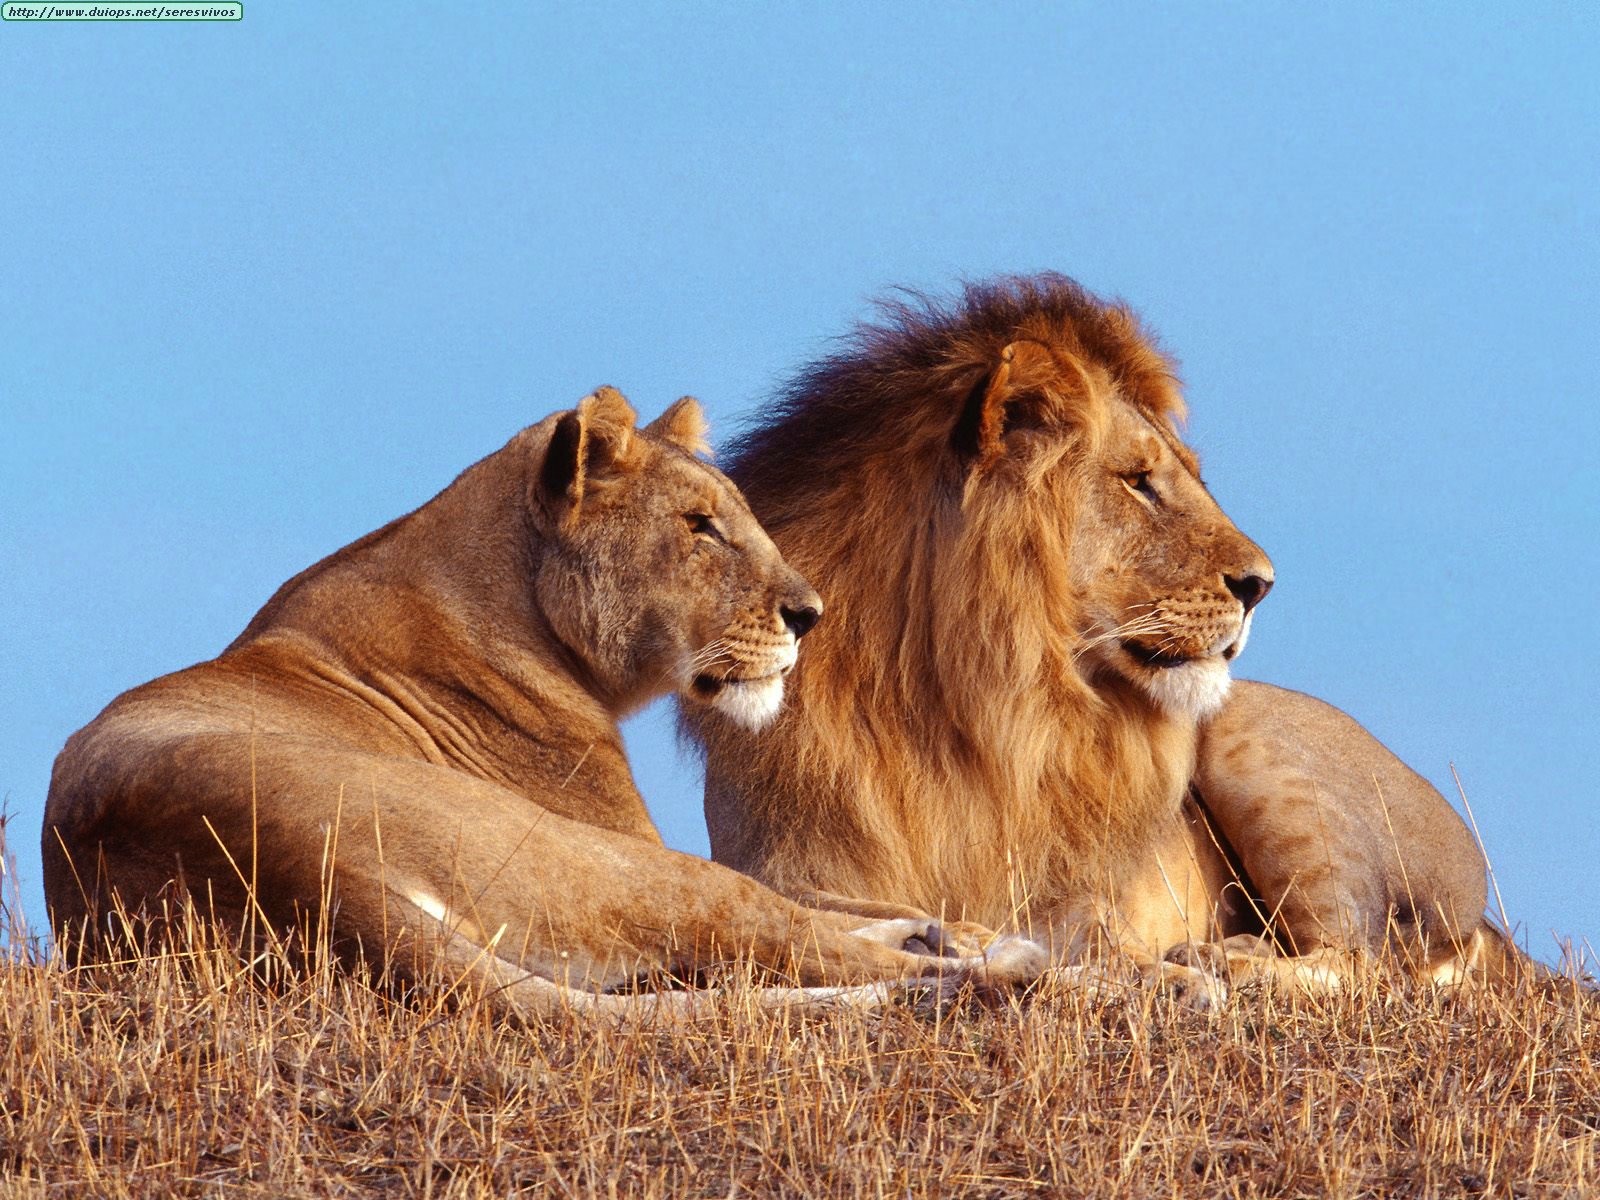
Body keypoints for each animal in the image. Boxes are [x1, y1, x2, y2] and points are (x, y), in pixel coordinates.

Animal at [42, 386, 1046, 1018]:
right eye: (699, 527)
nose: (811, 613)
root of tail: (302, 874)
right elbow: (802, 908)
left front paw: (936, 923)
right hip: (603, 863)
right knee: (779, 935)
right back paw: (1002, 964)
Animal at [687, 274, 1516, 994]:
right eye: (1139, 481)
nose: (1262, 583)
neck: (958, 705)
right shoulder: (775, 862)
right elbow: (821, 909)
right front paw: (947, 939)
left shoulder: (1076, 894)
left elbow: (1094, 940)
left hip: (1249, 736)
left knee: (1362, 960)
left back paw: (1225, 962)